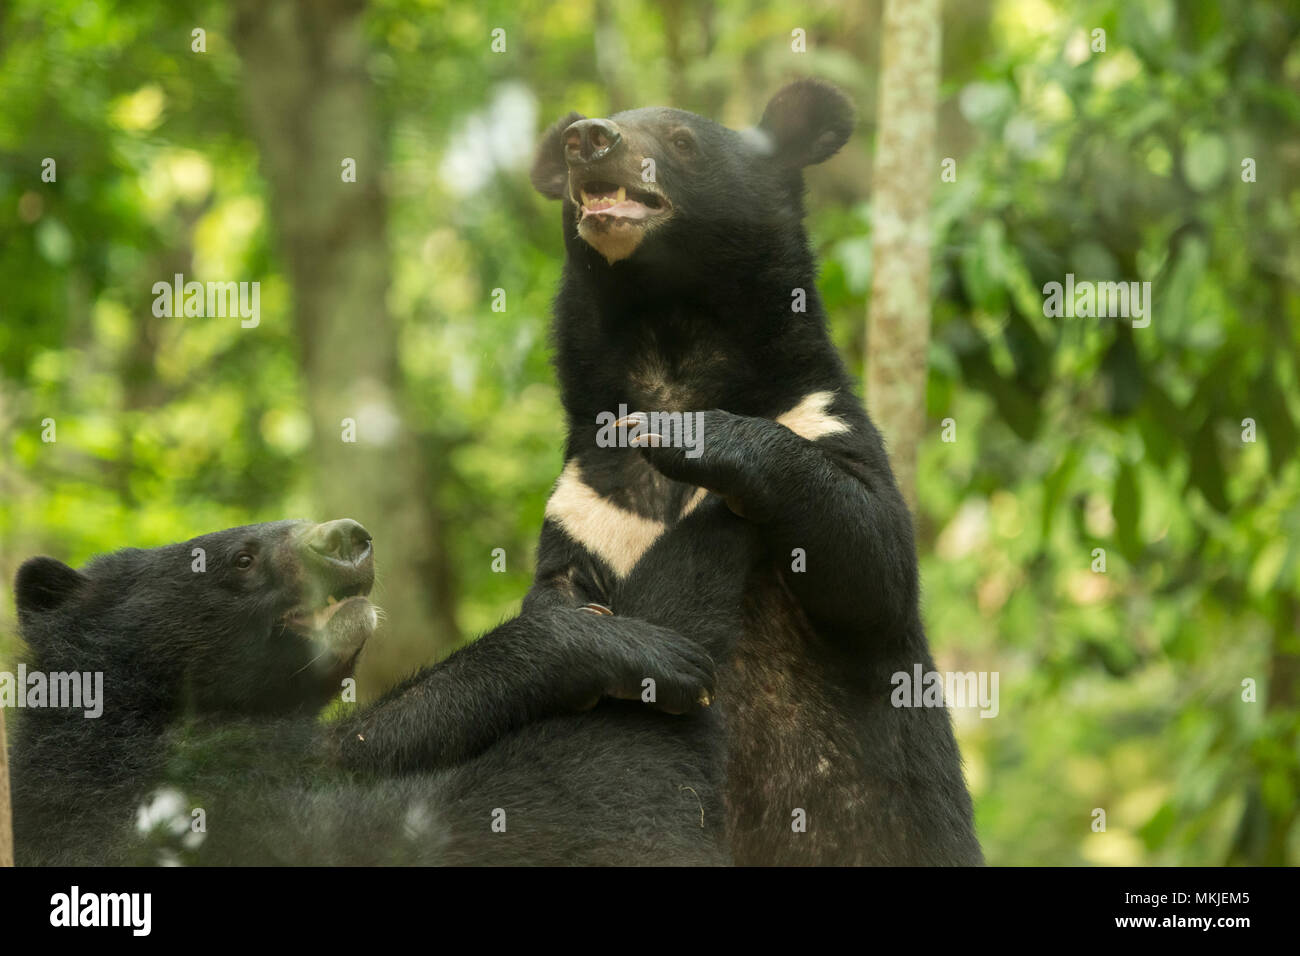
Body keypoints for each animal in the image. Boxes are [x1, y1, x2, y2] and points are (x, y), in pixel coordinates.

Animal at [335, 79, 982, 865]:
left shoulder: (820, 418)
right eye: (592, 135)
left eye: (680, 140)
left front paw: (693, 440)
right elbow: (561, 602)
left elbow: (871, 558)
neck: (668, 341)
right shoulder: (588, 498)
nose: (588, 140)